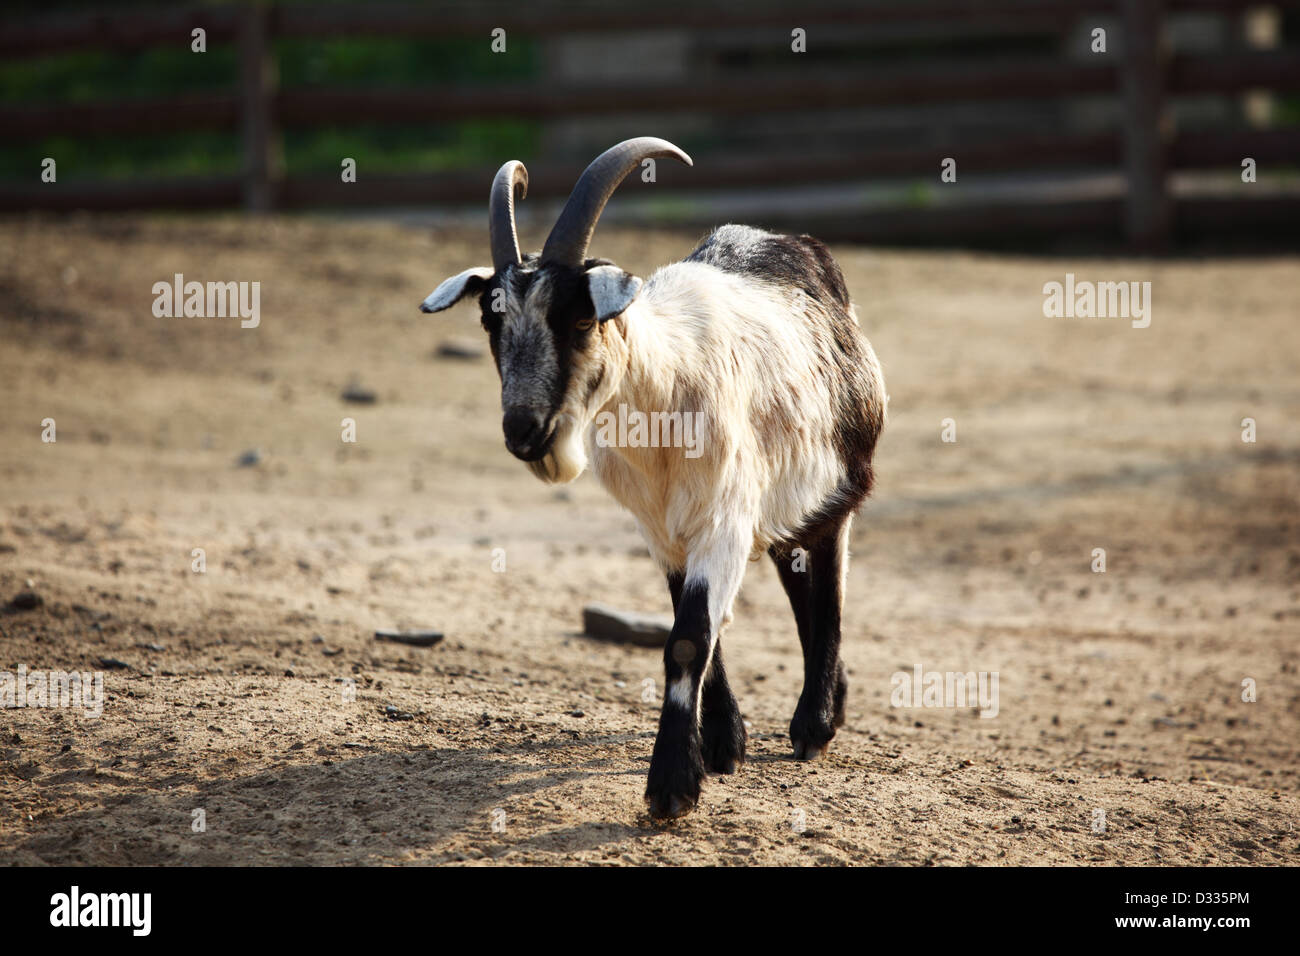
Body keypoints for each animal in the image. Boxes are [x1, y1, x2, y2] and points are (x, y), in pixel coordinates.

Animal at [421, 138, 887, 819]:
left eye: (579, 319)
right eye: (491, 322)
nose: (524, 430)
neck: (665, 392)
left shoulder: (723, 517)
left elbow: (690, 639)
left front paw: (672, 785)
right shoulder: (662, 530)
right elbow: (701, 629)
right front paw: (722, 743)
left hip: (837, 484)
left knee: (826, 585)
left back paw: (814, 725)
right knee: (799, 581)